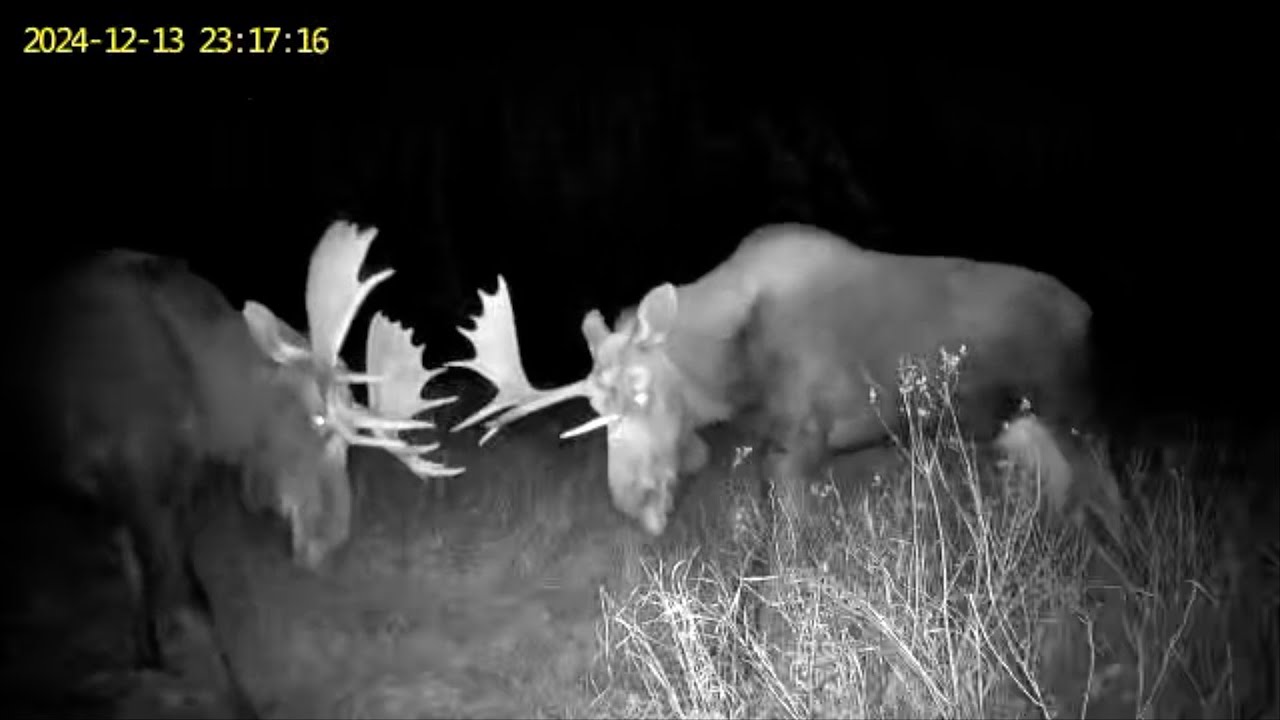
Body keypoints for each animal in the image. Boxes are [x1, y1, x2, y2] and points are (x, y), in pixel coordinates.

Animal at [15, 221, 462, 695]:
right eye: (319, 419)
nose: (328, 541)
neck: (207, 408)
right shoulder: (138, 484)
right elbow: (192, 602)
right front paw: (237, 698)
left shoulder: (158, 488)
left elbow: (138, 573)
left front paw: (148, 655)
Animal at [445, 222, 1096, 540]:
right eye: (591, 406)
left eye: (641, 387)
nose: (630, 501)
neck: (732, 378)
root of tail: (1087, 312)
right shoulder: (773, 446)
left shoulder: (803, 444)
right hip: (1019, 427)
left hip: (1070, 413)